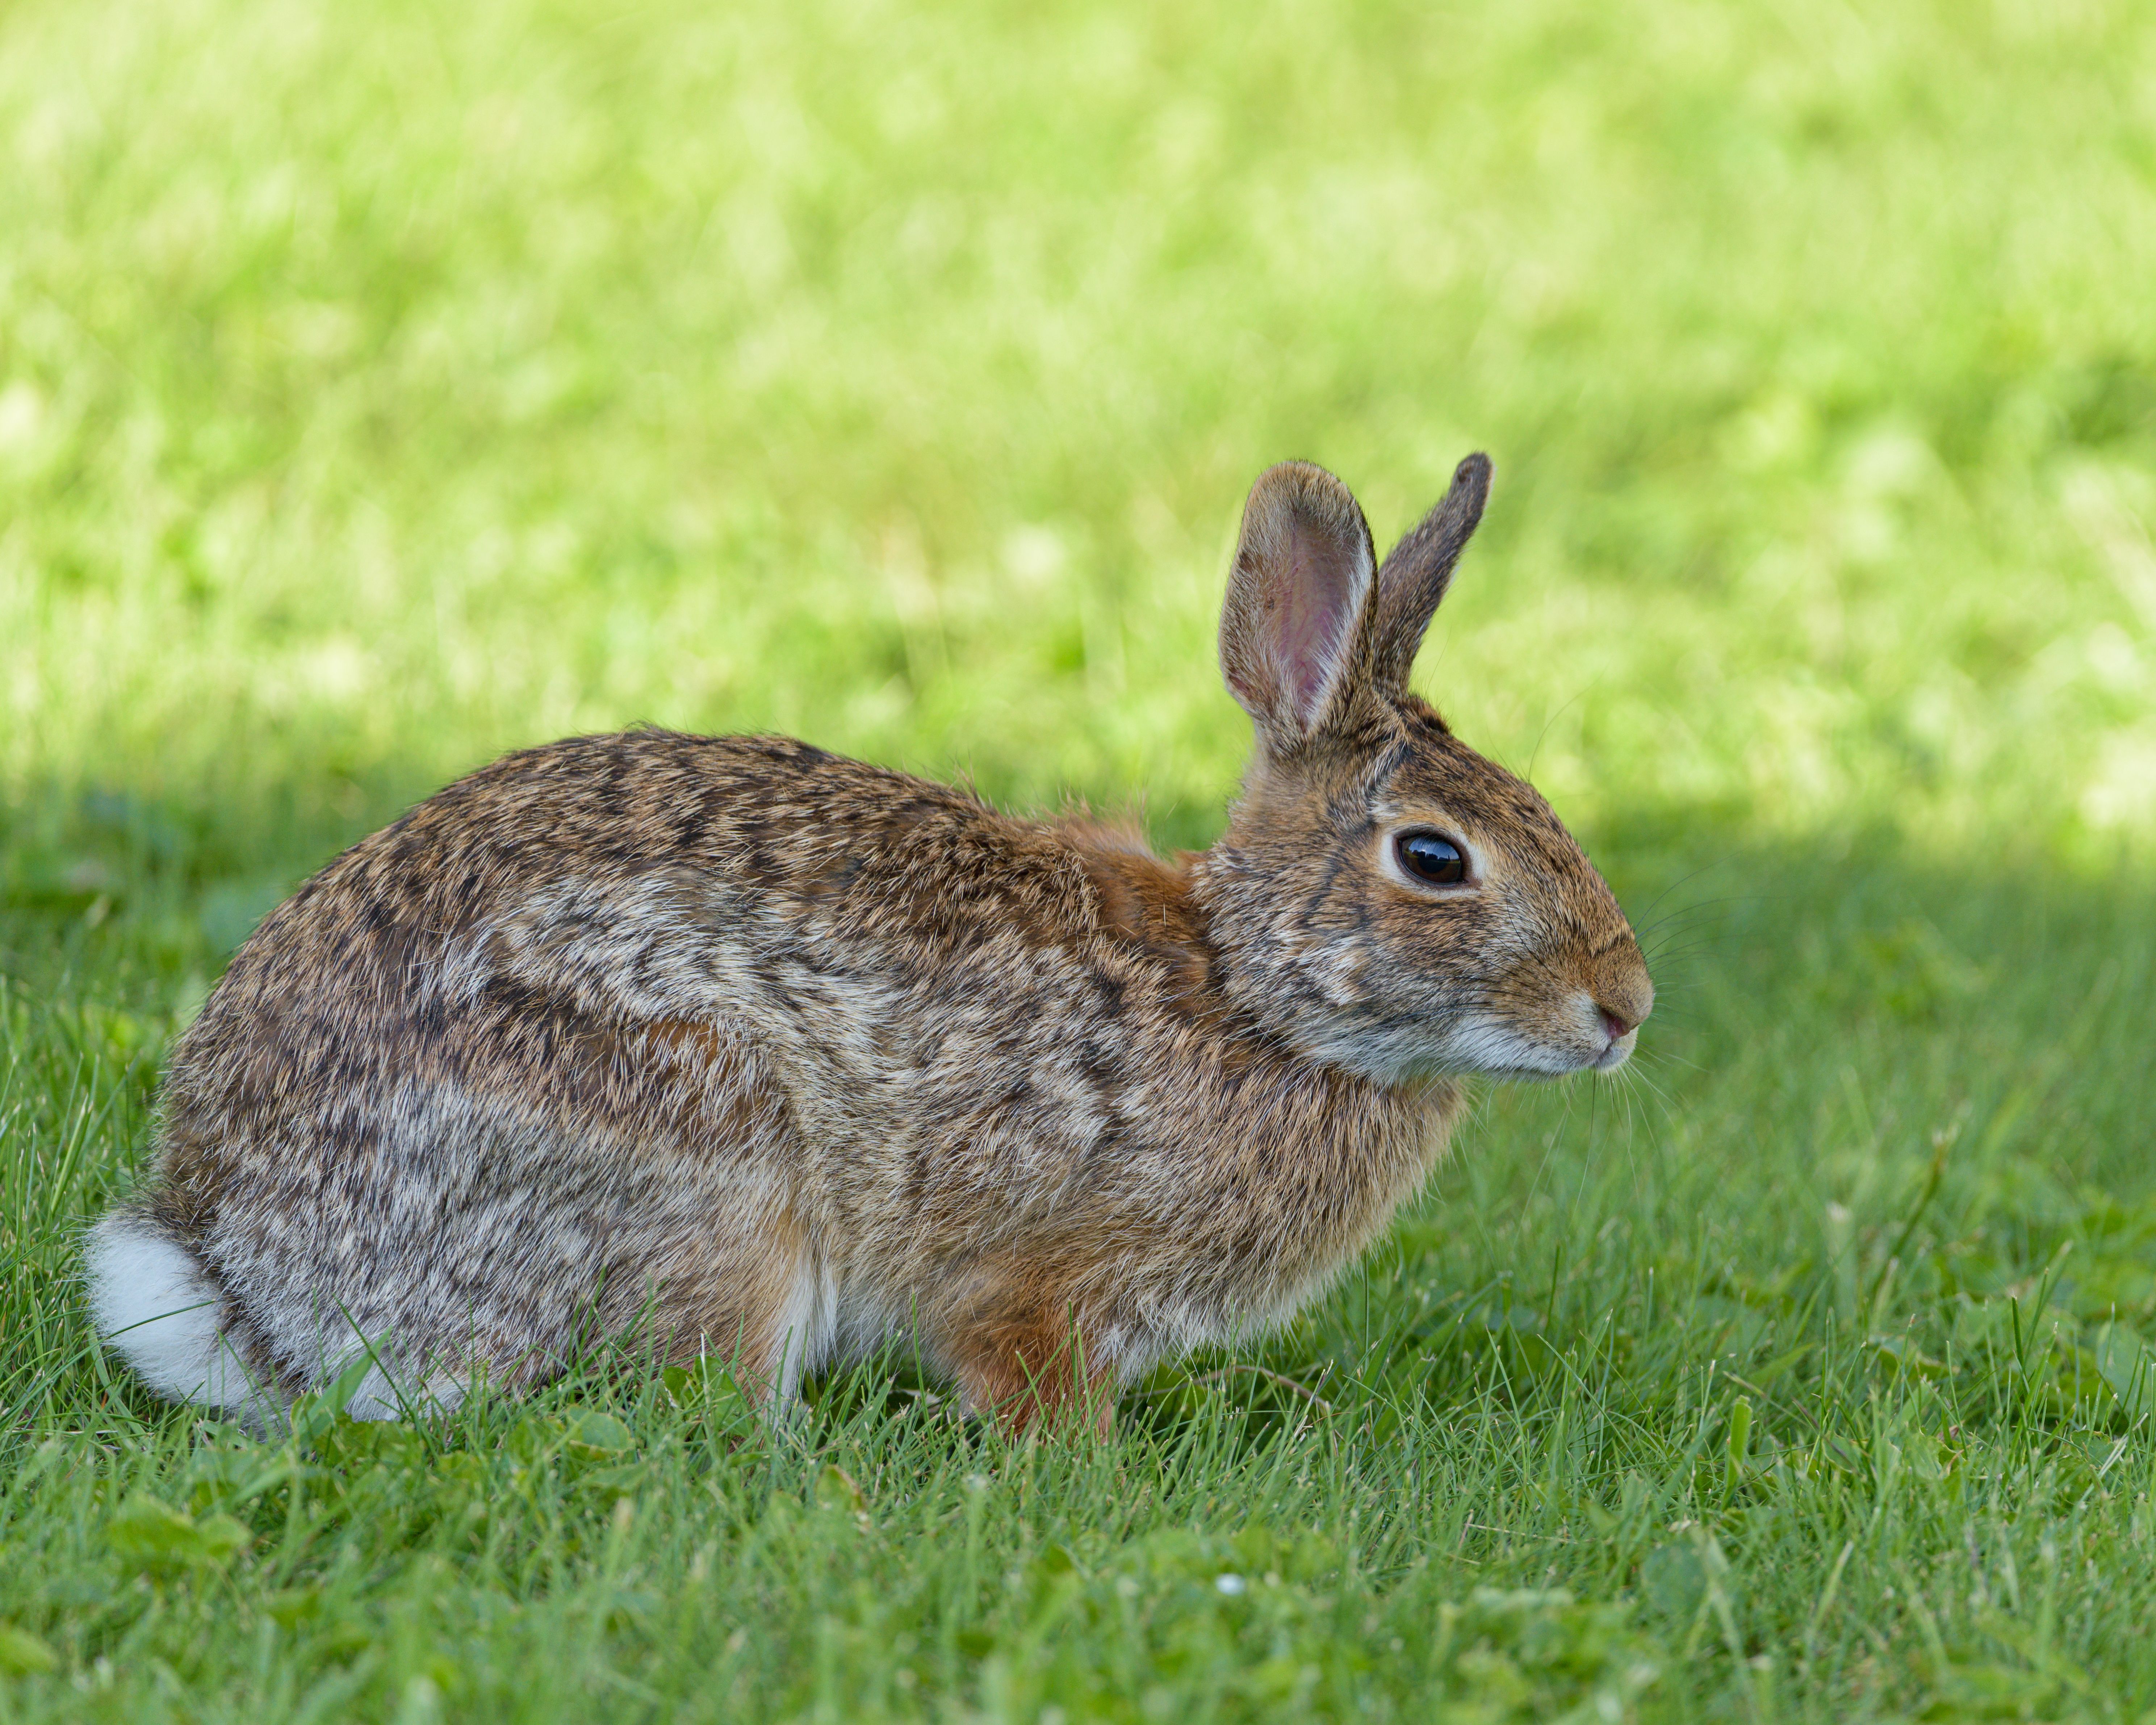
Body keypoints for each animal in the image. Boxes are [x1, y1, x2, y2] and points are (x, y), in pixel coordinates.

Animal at [85, 454, 1652, 1432]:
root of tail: (252, 1274)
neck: (1251, 992)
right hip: (709, 1171)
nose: (1625, 1007)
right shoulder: (1036, 1271)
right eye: (1435, 858)